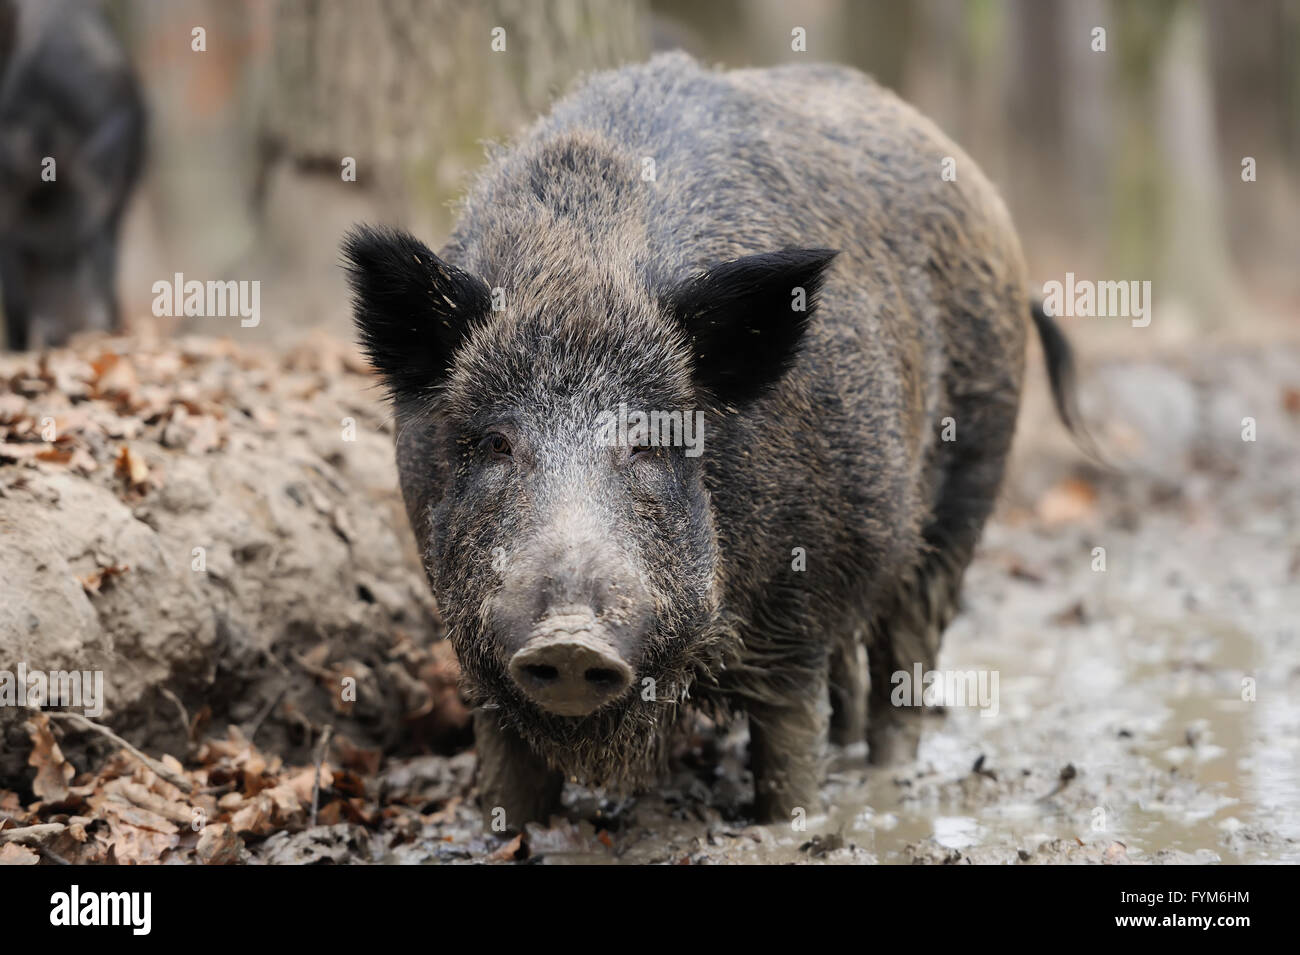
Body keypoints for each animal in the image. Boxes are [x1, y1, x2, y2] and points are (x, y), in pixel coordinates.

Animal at [343, 52, 1083, 828]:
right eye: (493, 442)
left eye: (651, 441)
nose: (569, 637)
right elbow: (510, 787)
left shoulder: (801, 611)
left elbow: (788, 759)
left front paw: (793, 820)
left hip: (969, 477)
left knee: (906, 659)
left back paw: (885, 775)